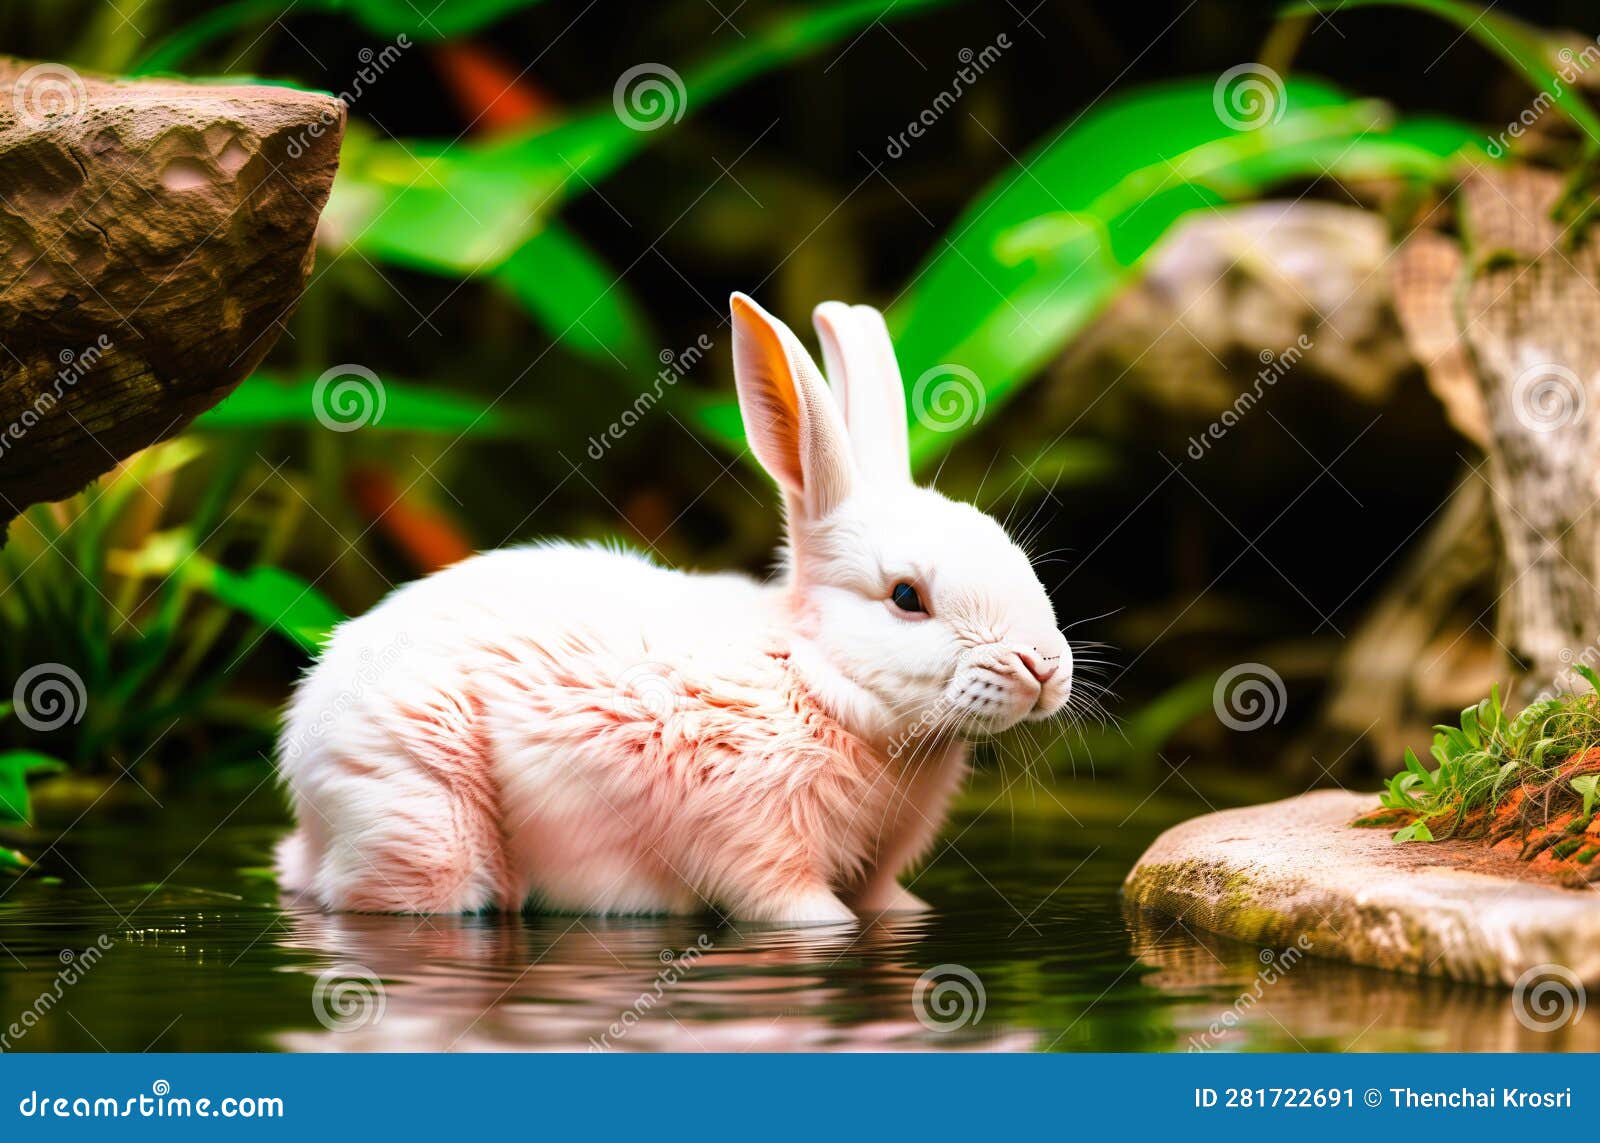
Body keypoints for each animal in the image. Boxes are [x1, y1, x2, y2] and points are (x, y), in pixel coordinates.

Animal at [274, 292, 1073, 924]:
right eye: (908, 596)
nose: (1042, 668)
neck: (813, 679)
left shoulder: (879, 868)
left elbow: (889, 905)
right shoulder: (759, 844)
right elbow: (805, 913)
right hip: (422, 823)